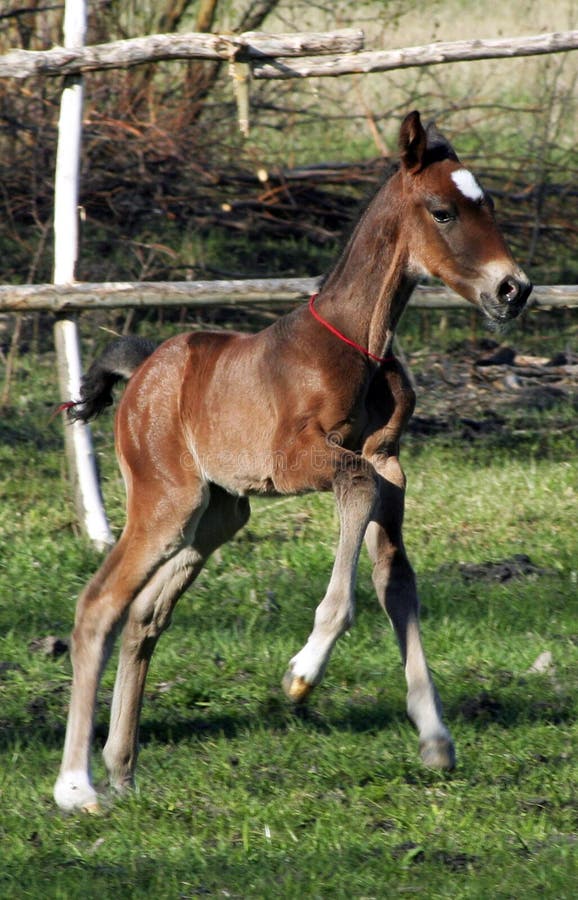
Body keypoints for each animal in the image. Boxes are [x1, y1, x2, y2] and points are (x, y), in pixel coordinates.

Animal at [54, 111, 532, 811]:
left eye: (489, 204)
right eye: (443, 211)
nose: (514, 289)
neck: (360, 344)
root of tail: (142, 370)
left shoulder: (392, 469)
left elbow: (395, 580)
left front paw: (435, 736)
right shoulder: (300, 458)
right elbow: (355, 498)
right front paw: (304, 670)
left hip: (218, 516)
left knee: (144, 615)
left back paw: (120, 765)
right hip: (166, 504)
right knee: (99, 605)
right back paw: (76, 785)